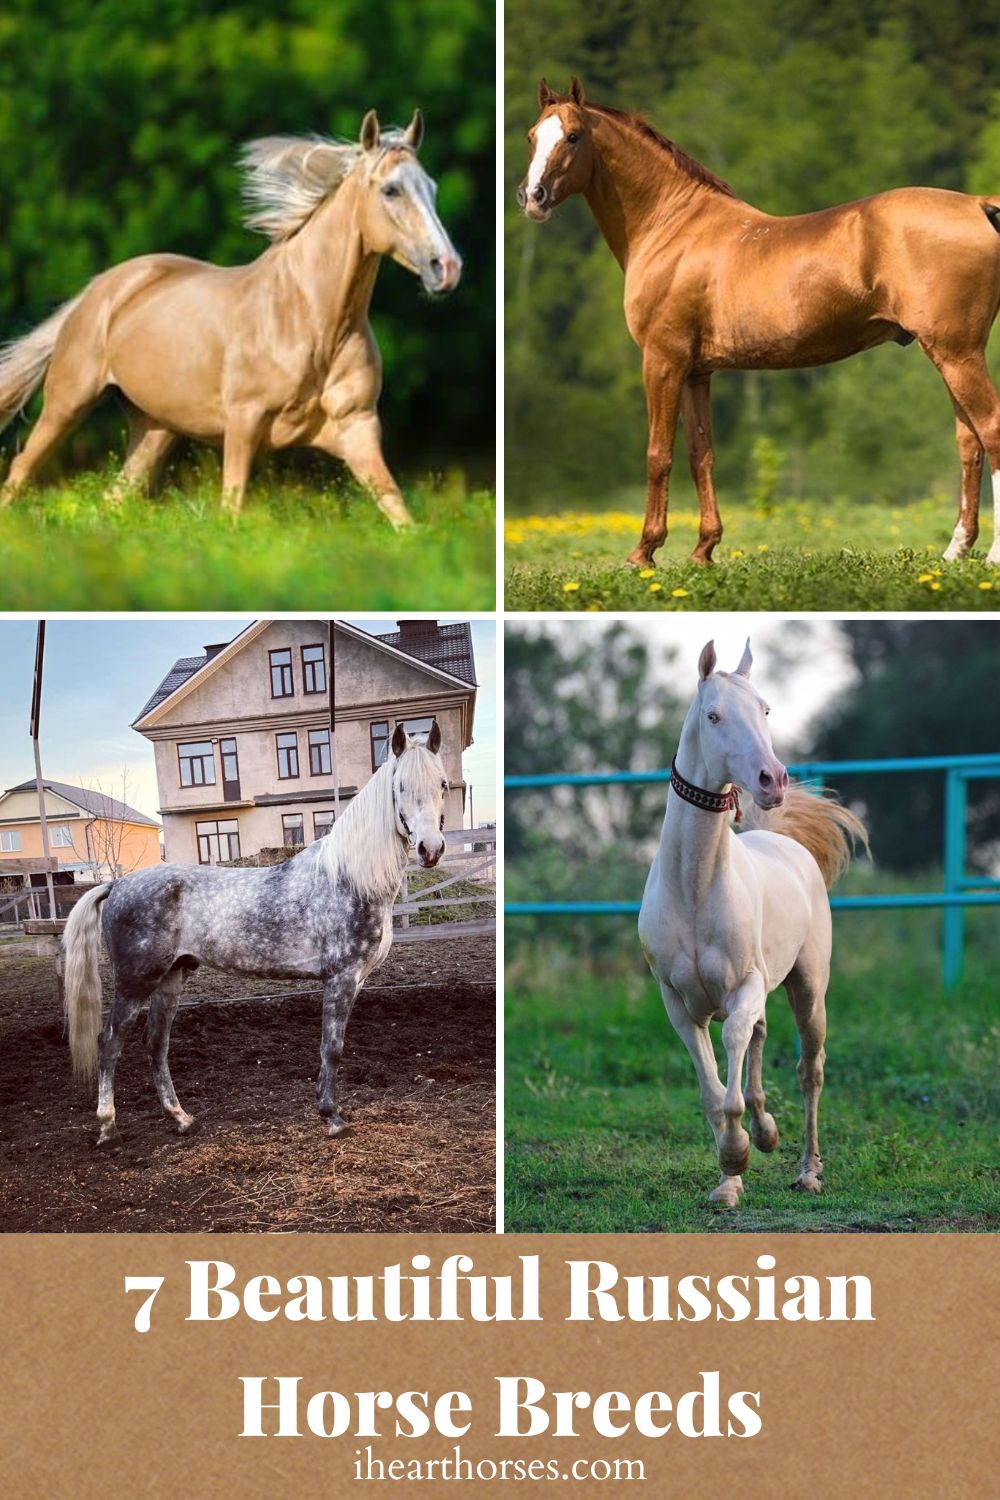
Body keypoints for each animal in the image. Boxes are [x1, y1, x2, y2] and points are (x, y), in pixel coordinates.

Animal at [0, 109, 461, 523]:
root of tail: (101, 289)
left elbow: (397, 510)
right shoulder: (243, 421)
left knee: (115, 496)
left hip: (154, 428)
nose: (447, 267)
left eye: (432, 188)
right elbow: (231, 509)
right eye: (391, 190)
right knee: (20, 472)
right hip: (68, 401)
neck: (311, 322)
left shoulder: (358, 427)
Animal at [61, 724, 448, 1147]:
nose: (431, 849)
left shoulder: (355, 981)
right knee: (110, 1043)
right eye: (400, 787)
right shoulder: (341, 979)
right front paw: (332, 1117)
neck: (348, 878)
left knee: (156, 1044)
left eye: (443, 784)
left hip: (171, 978)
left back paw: (181, 1118)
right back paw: (108, 1126)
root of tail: (117, 884)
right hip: (136, 982)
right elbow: (332, 1048)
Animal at [518, 76, 1000, 569]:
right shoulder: (696, 371)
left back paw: (992, 555)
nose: (532, 198)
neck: (672, 227)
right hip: (947, 353)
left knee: (991, 430)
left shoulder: (662, 360)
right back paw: (956, 550)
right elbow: (700, 453)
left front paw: (644, 552)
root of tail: (977, 205)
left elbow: (658, 453)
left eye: (573, 136)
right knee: (969, 442)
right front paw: (704, 549)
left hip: (957, 353)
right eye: (534, 136)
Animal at [637, 641, 867, 1209]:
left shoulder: (744, 986)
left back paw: (807, 1170)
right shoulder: (677, 1004)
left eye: (765, 709)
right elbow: (712, 1091)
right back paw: (767, 1133)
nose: (773, 780)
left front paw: (737, 1155)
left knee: (810, 1071)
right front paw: (730, 1176)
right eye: (714, 716)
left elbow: (735, 1056)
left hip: (808, 990)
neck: (694, 887)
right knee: (762, 1046)